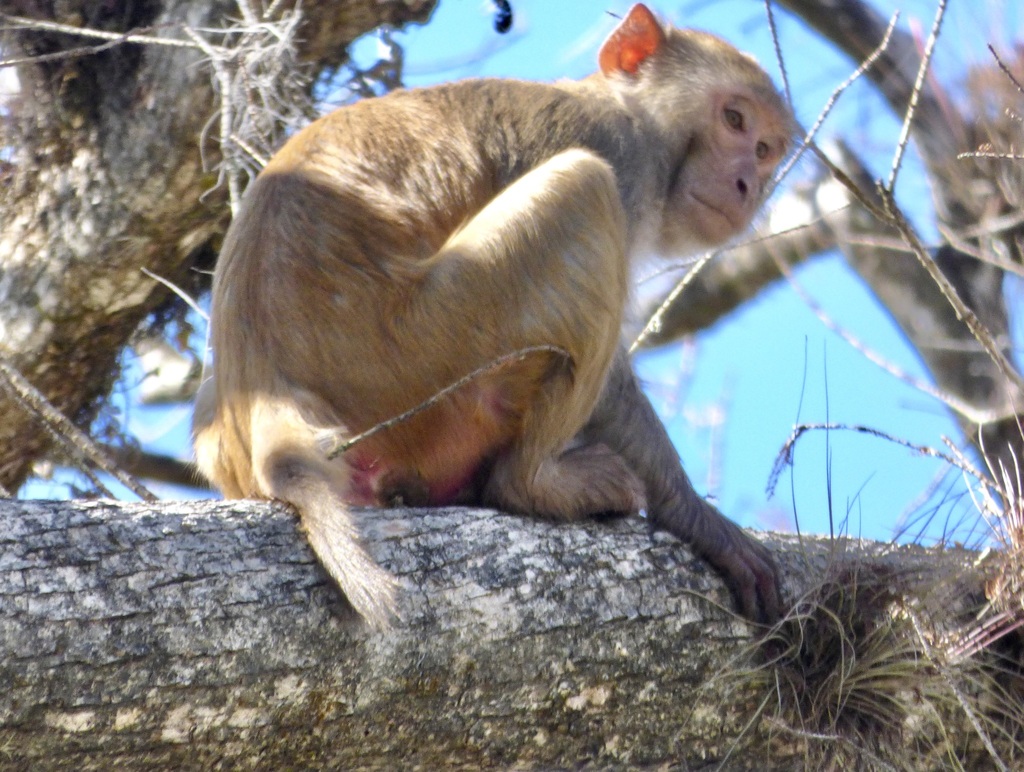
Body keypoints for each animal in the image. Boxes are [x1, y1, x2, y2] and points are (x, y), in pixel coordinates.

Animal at [193, 4, 794, 628]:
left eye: (767, 150)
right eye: (733, 119)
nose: (748, 185)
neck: (630, 117)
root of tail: (266, 387)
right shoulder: (620, 155)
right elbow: (611, 388)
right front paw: (696, 516)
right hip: (424, 356)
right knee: (584, 186)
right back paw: (533, 485)